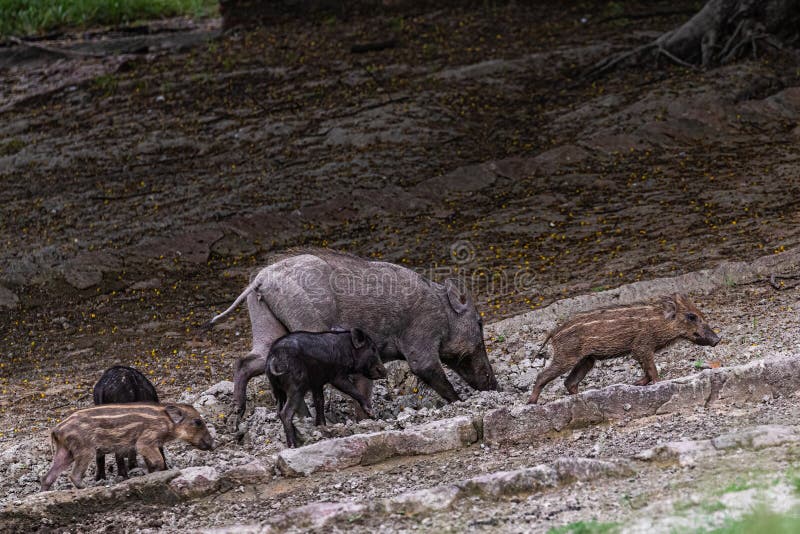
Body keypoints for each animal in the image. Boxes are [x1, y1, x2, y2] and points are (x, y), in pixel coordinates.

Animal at [41, 403, 213, 491]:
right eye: (198, 422)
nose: (213, 444)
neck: (167, 423)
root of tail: (56, 429)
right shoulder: (145, 441)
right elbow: (158, 460)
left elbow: (153, 462)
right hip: (85, 449)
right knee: (74, 475)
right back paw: (87, 487)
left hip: (65, 452)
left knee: (48, 477)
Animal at [204, 249, 498, 418]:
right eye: (480, 323)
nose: (495, 386)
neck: (443, 312)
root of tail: (260, 279)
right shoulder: (421, 343)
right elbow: (431, 372)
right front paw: (460, 402)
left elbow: (365, 388)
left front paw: (365, 417)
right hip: (308, 329)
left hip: (266, 331)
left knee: (246, 363)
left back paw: (239, 411)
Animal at [527, 293, 721, 404]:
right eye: (691, 316)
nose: (718, 339)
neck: (660, 322)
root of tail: (553, 332)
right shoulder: (642, 345)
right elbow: (652, 368)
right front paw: (659, 384)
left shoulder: (640, 349)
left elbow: (646, 370)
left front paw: (637, 384)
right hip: (567, 355)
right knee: (542, 375)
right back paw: (532, 402)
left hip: (587, 359)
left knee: (569, 382)